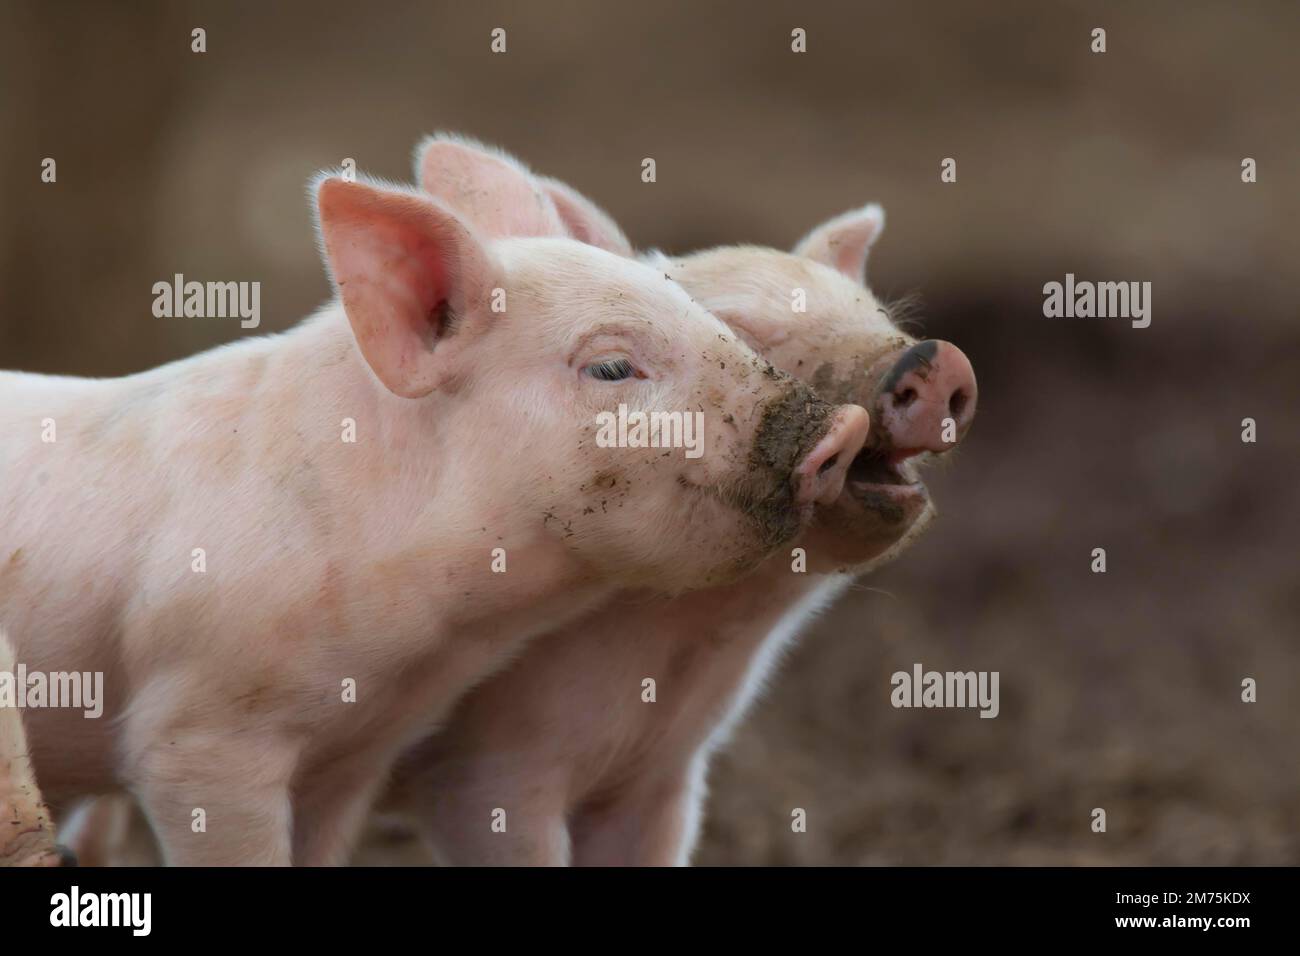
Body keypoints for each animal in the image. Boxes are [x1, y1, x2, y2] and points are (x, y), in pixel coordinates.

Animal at [371, 142, 978, 865]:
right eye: (736, 331)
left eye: (877, 313)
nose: (934, 357)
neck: (685, 650)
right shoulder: (485, 773)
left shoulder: (665, 780)